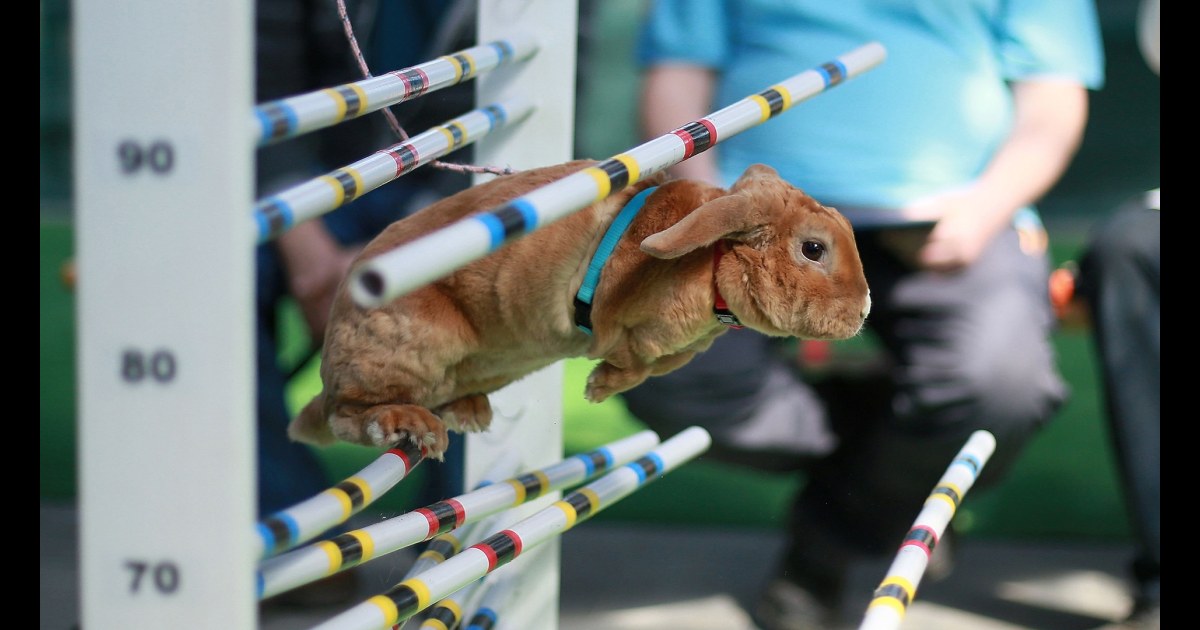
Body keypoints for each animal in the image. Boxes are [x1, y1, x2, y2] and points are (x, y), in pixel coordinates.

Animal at [289, 159, 871, 459]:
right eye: (813, 249)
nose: (865, 310)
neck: (710, 263)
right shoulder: (619, 325)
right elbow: (630, 359)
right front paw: (597, 387)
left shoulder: (675, 350)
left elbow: (652, 367)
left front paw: (599, 387)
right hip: (409, 345)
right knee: (347, 414)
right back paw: (408, 425)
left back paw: (468, 412)